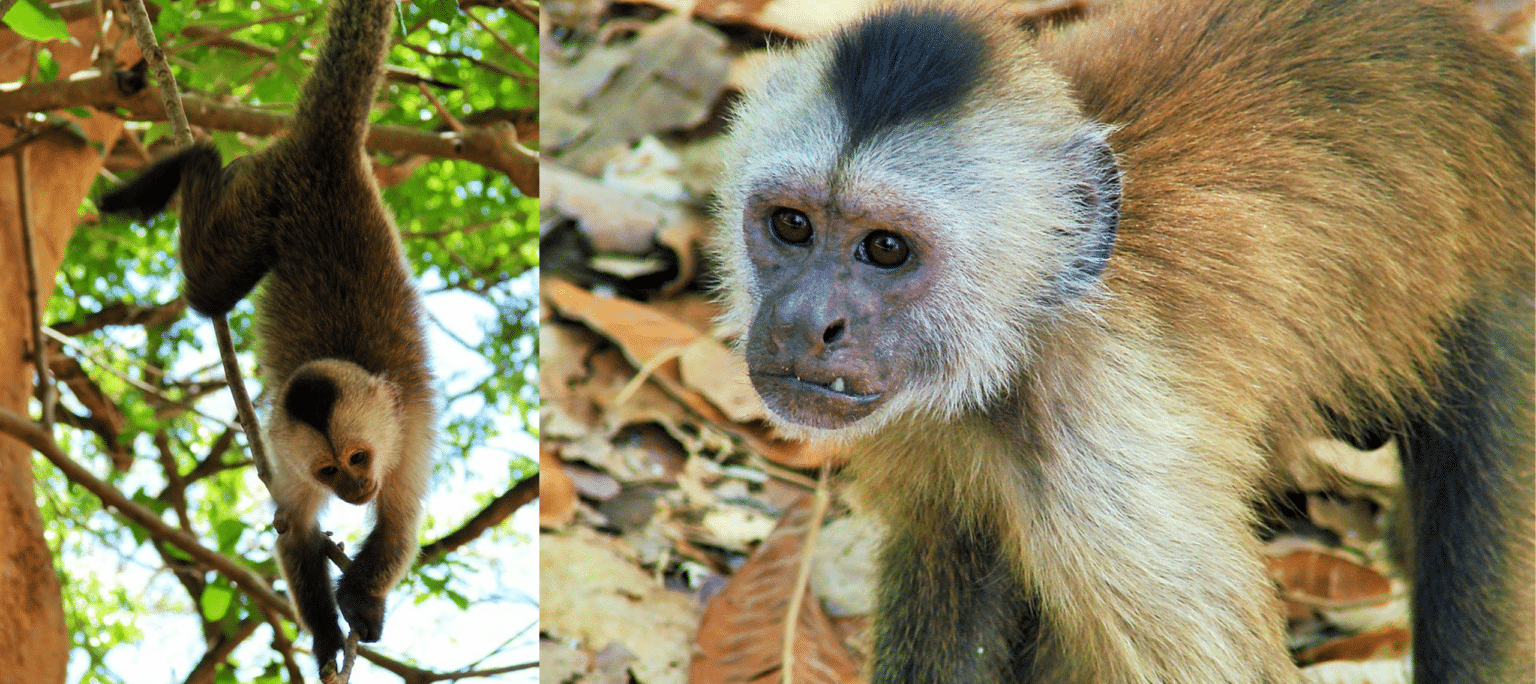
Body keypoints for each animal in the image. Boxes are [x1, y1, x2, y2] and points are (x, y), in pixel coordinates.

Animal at [98, 0, 435, 675]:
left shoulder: (409, 432)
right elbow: (294, 532)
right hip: (267, 193)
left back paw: (194, 159)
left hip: (268, 189)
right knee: (209, 290)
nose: (354, 491)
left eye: (360, 460)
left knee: (208, 288)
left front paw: (361, 601)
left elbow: (399, 526)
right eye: (331, 471)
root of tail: (327, 151)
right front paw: (328, 636)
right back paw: (192, 161)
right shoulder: (297, 465)